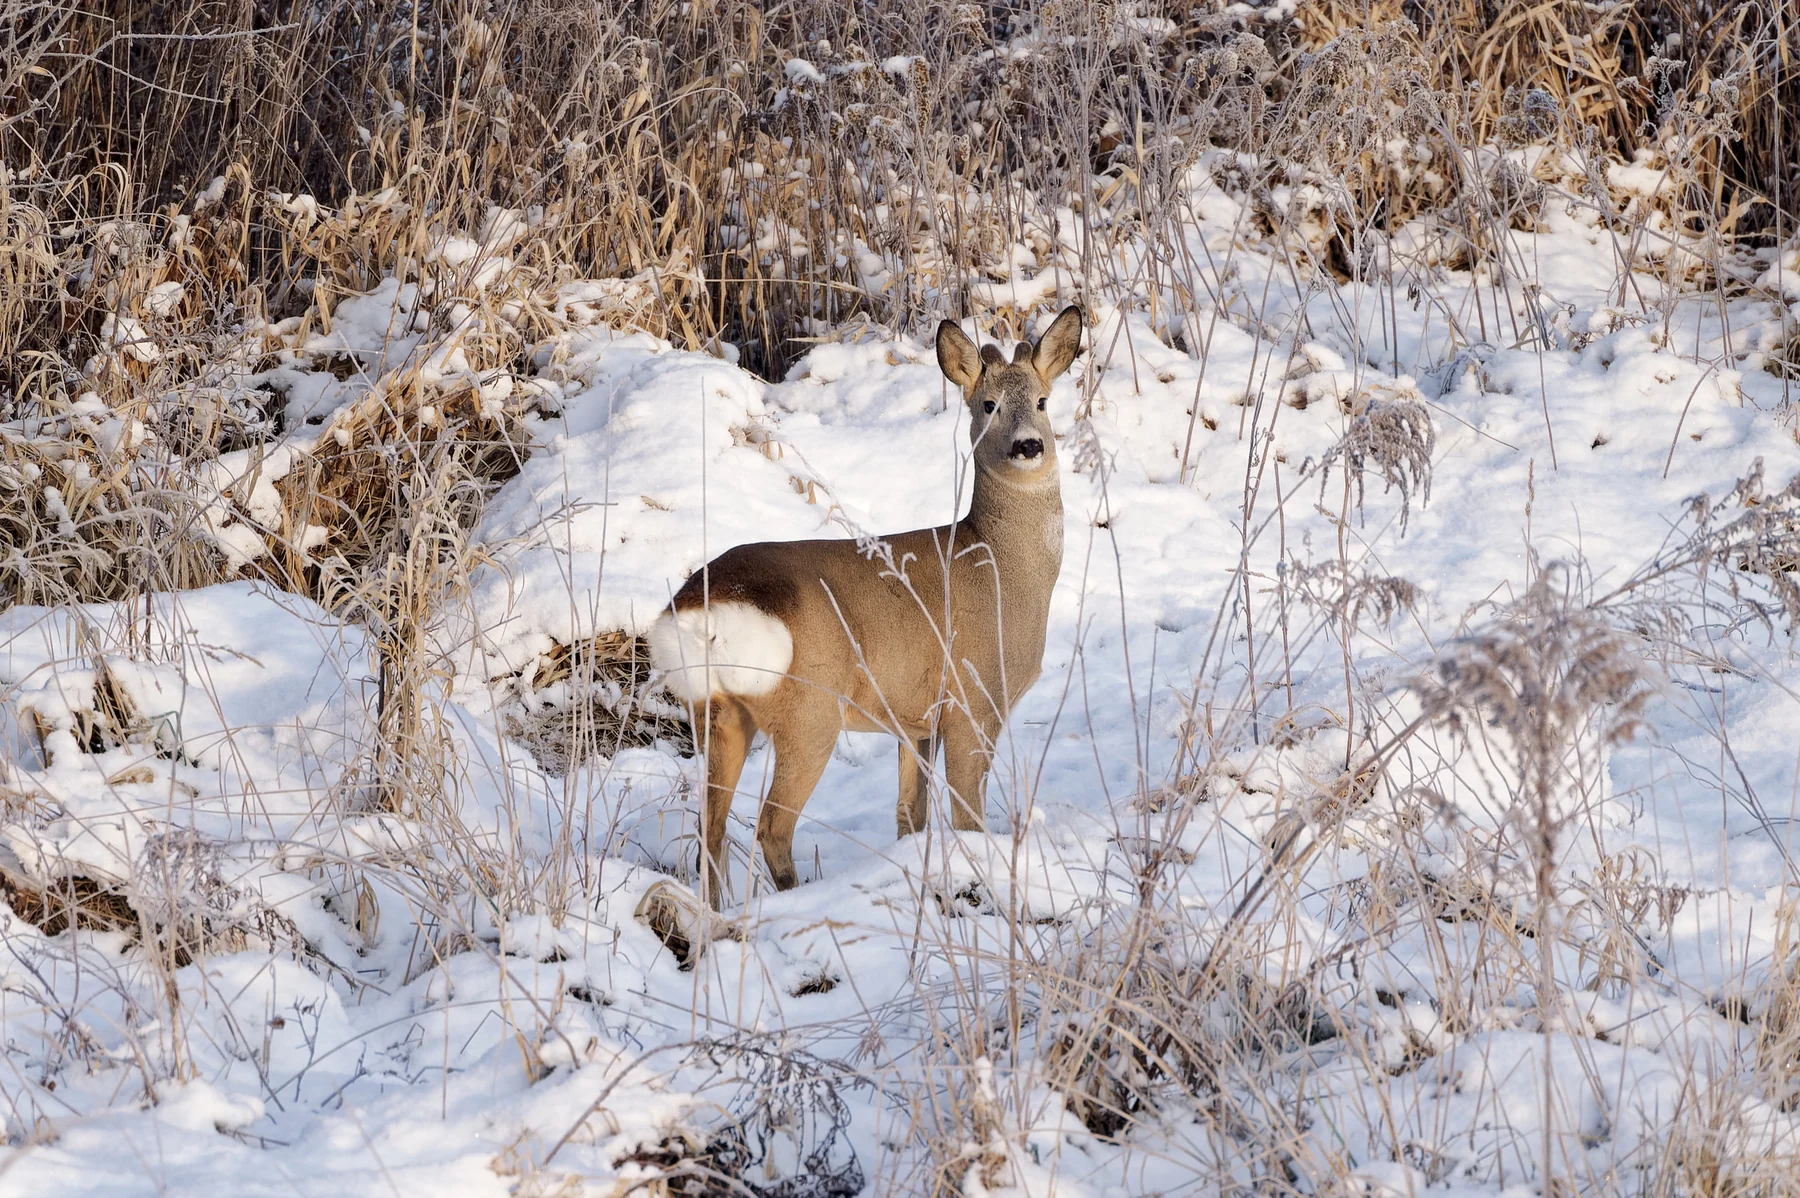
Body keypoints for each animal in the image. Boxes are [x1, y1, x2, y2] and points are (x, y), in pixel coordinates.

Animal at [649, 306, 1083, 908]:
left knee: (709, 830)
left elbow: (909, 816)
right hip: (810, 710)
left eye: (1042, 401)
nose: (1027, 446)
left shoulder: (915, 720)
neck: (999, 565)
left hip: (716, 711)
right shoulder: (974, 699)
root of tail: (701, 610)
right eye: (988, 404)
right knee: (771, 826)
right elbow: (967, 814)